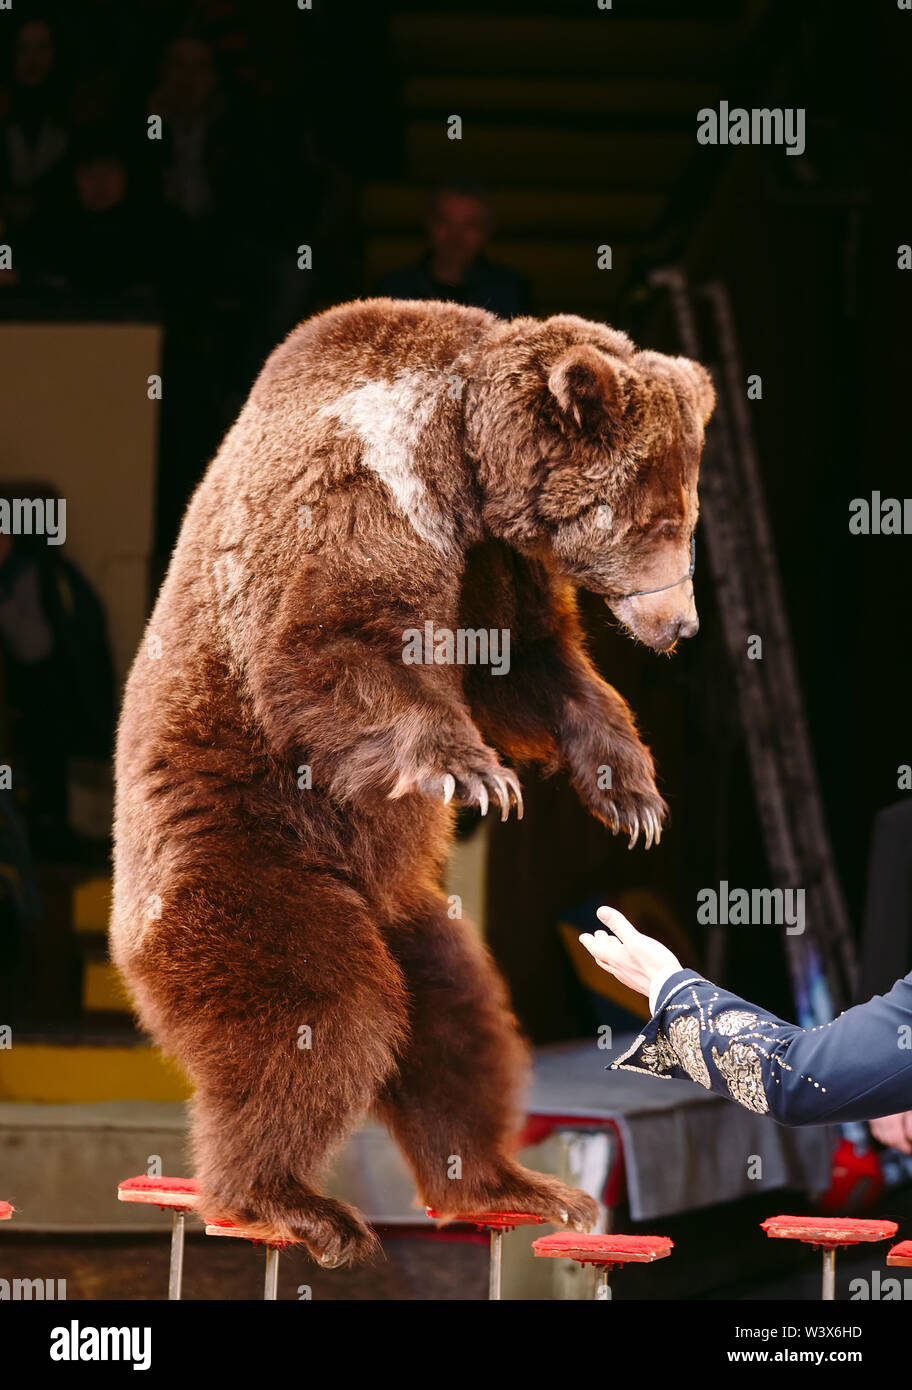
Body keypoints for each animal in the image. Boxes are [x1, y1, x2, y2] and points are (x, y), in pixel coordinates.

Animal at [111, 298, 715, 1265]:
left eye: (686, 515)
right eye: (658, 520)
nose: (681, 626)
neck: (467, 461)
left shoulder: (494, 566)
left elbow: (529, 666)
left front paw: (629, 794)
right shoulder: (368, 493)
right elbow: (336, 642)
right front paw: (476, 772)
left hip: (412, 916)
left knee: (458, 1027)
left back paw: (512, 1183)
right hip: (246, 863)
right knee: (323, 1011)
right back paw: (289, 1202)